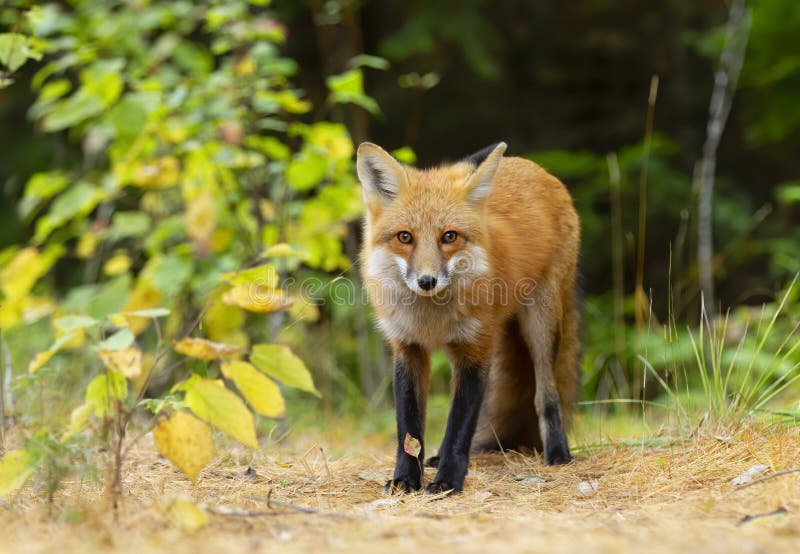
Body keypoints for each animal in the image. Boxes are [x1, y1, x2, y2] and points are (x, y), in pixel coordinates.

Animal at [357, 141, 581, 494]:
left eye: (449, 236)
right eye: (405, 237)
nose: (427, 281)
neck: (431, 321)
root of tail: (536, 168)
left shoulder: (475, 350)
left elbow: (459, 424)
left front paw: (448, 479)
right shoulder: (408, 347)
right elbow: (409, 427)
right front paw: (406, 478)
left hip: (540, 326)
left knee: (545, 394)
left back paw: (558, 453)